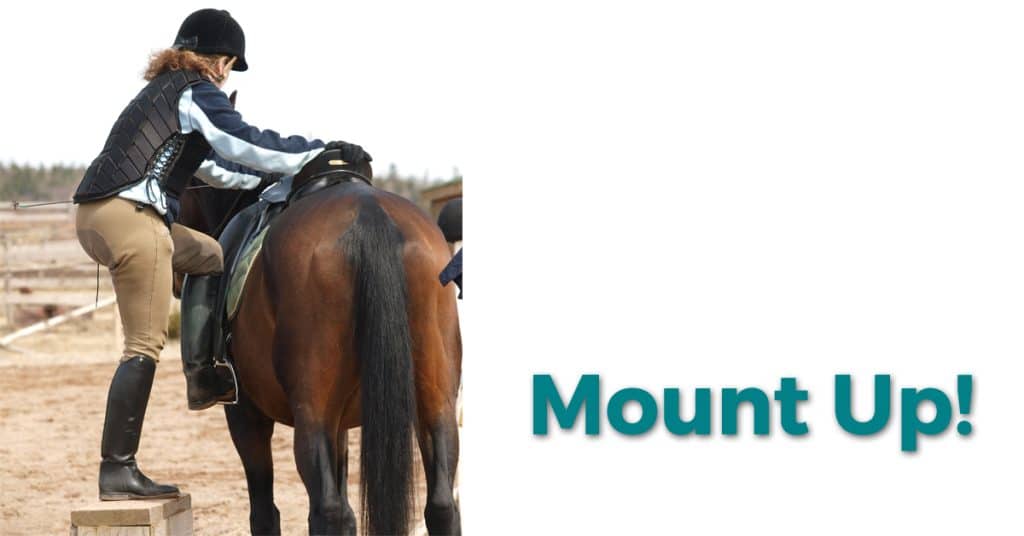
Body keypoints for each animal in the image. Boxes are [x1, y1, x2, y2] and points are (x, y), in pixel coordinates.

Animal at [177, 160, 462, 535]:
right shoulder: (339, 425)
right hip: (435, 401)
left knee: (326, 509)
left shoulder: (245, 414)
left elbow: (264, 513)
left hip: (312, 411)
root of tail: (370, 212)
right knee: (441, 504)